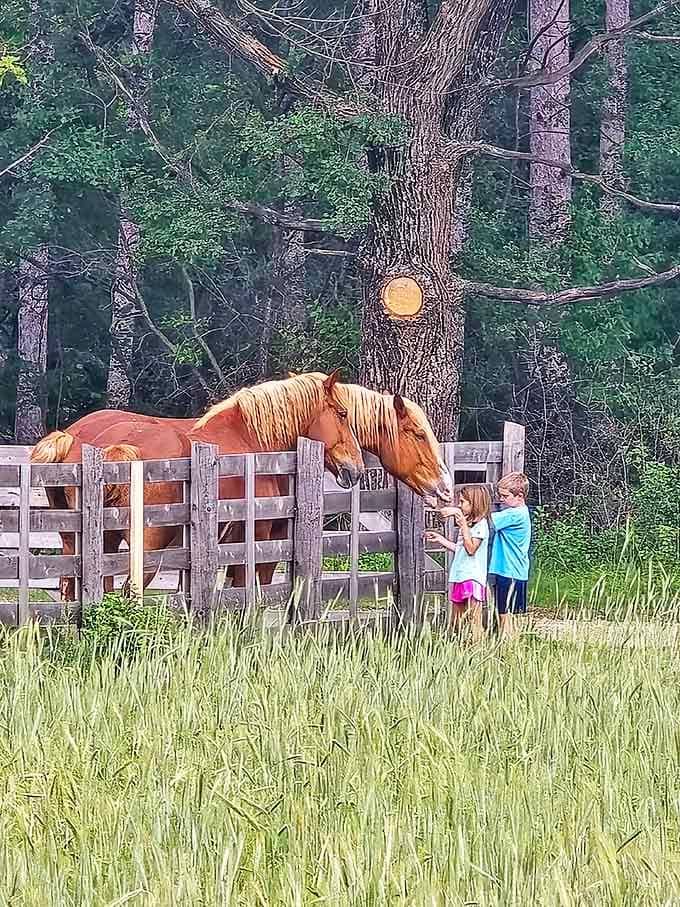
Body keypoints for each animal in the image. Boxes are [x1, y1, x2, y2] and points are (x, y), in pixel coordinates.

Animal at [32, 371, 364, 599]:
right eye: (342, 413)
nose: (356, 469)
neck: (253, 443)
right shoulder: (260, 540)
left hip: (89, 543)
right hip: (148, 547)